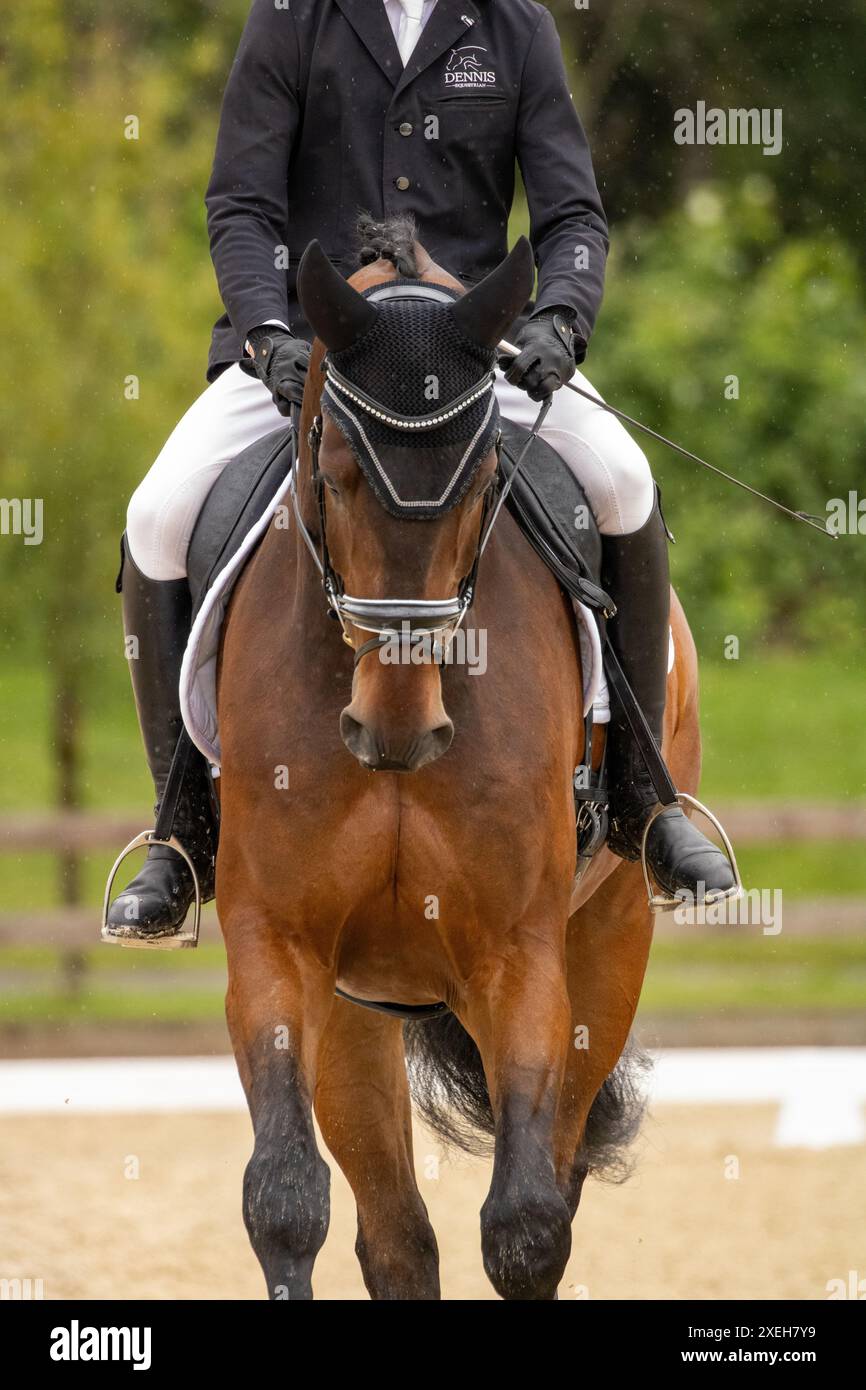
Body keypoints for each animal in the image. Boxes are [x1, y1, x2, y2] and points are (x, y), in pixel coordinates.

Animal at [214, 231, 702, 1301]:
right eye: (336, 467)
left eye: (485, 481)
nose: (396, 728)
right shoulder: (276, 944)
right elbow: (284, 1198)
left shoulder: (517, 956)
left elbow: (526, 1226)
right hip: (355, 1008)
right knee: (395, 1232)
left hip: (609, 942)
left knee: (556, 1177)